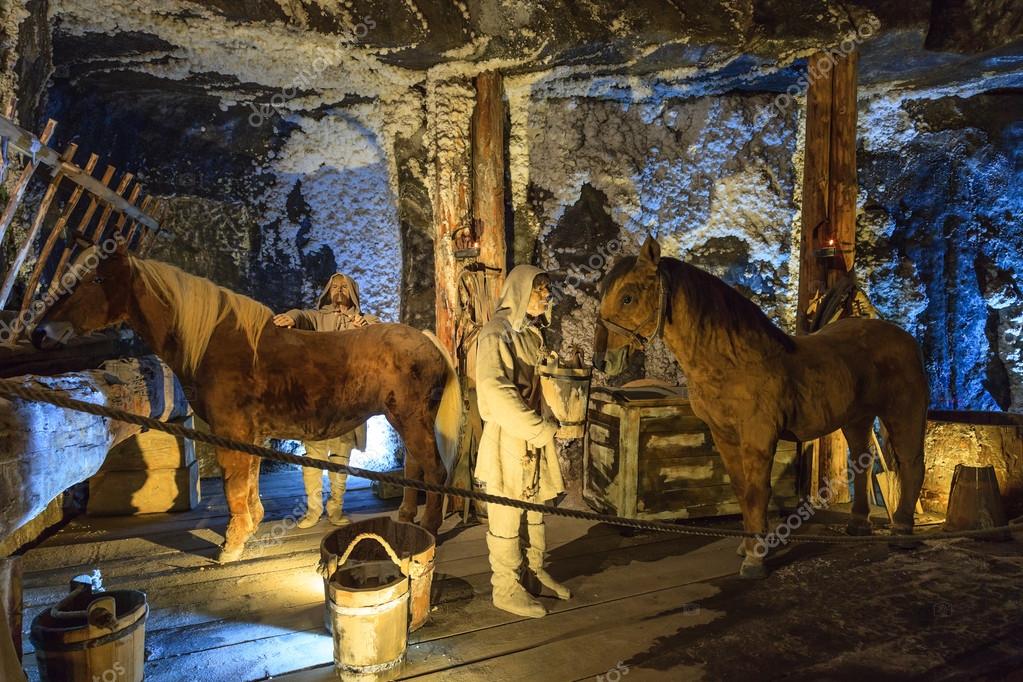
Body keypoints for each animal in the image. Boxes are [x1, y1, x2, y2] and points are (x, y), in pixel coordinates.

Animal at [32, 246, 462, 562]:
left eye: (96, 279)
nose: (42, 332)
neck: (215, 343)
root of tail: (426, 339)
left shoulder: (231, 430)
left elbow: (234, 485)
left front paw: (231, 544)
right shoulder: (250, 433)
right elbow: (250, 479)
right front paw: (251, 526)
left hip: (410, 417)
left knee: (434, 469)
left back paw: (430, 527)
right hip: (404, 418)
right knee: (416, 466)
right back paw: (407, 517)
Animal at [593, 236, 927, 578]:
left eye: (628, 297)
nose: (602, 361)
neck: (733, 360)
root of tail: (905, 338)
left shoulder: (758, 436)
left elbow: (757, 492)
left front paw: (755, 559)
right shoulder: (724, 436)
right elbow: (742, 490)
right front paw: (748, 546)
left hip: (904, 414)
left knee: (912, 465)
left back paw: (902, 532)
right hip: (857, 420)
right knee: (864, 461)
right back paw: (858, 525)